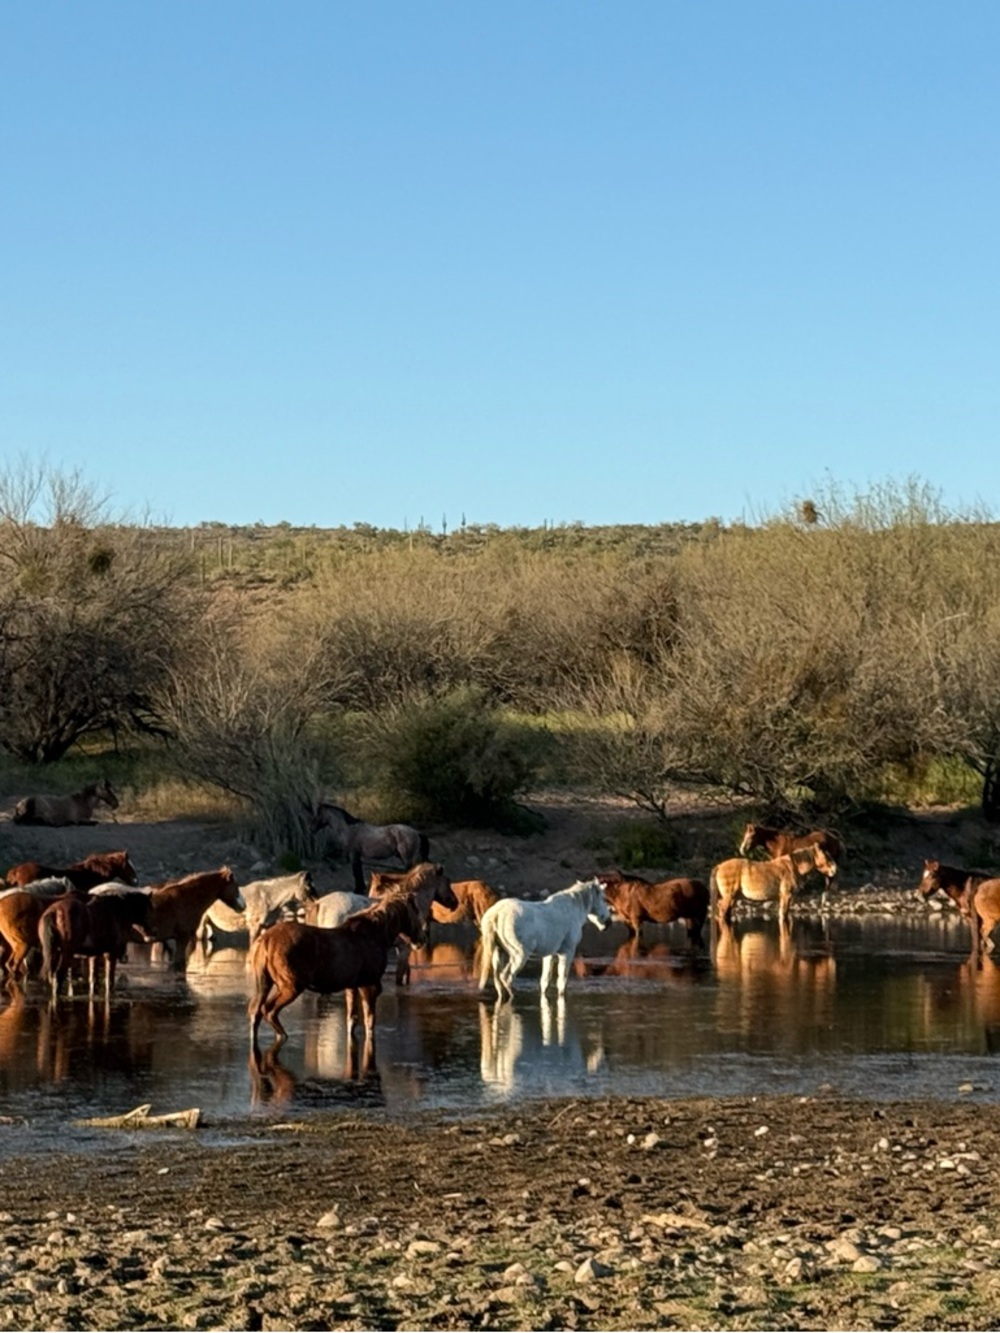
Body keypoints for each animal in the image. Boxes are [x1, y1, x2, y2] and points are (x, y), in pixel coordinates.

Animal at [248, 890, 427, 1048]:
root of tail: (265, 942)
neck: (381, 936)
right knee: (269, 1010)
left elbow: (352, 1020)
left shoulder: (352, 986)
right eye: (417, 912)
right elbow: (370, 1022)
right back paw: (283, 1036)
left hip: (264, 983)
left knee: (255, 1011)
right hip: (291, 985)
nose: (421, 940)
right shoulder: (370, 984)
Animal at [477, 878, 612, 1001]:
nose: (608, 923)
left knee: (498, 980)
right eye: (604, 898)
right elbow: (562, 982)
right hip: (519, 953)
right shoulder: (567, 950)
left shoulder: (550, 953)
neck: (576, 911)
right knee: (506, 977)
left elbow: (544, 982)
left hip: (498, 951)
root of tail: (495, 915)